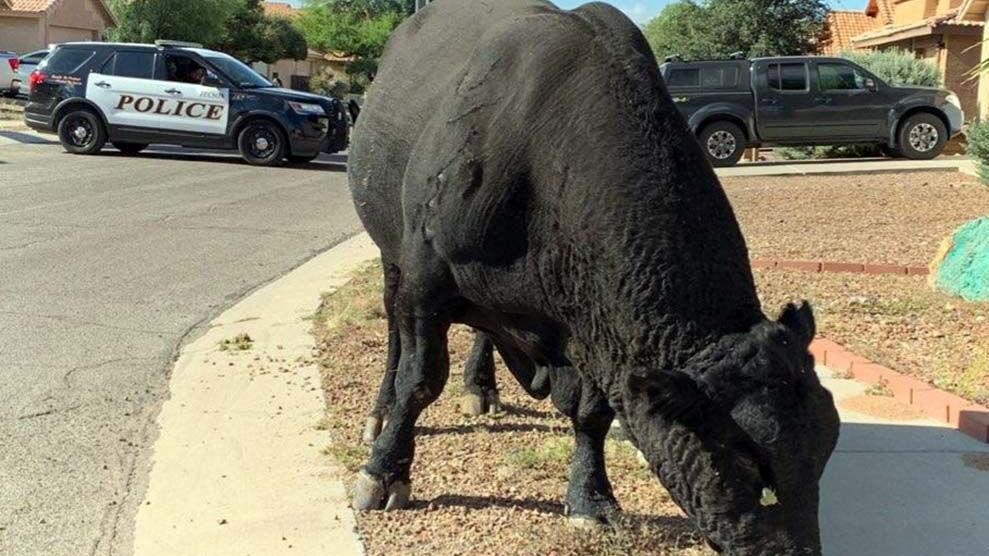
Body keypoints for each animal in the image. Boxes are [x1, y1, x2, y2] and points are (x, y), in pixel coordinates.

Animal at [346, 1, 840, 554]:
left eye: (827, 445)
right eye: (747, 461)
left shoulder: (595, 331)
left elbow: (592, 413)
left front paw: (591, 499)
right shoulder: (426, 279)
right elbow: (420, 378)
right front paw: (384, 470)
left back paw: (481, 386)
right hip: (391, 256)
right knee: (395, 335)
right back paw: (380, 412)